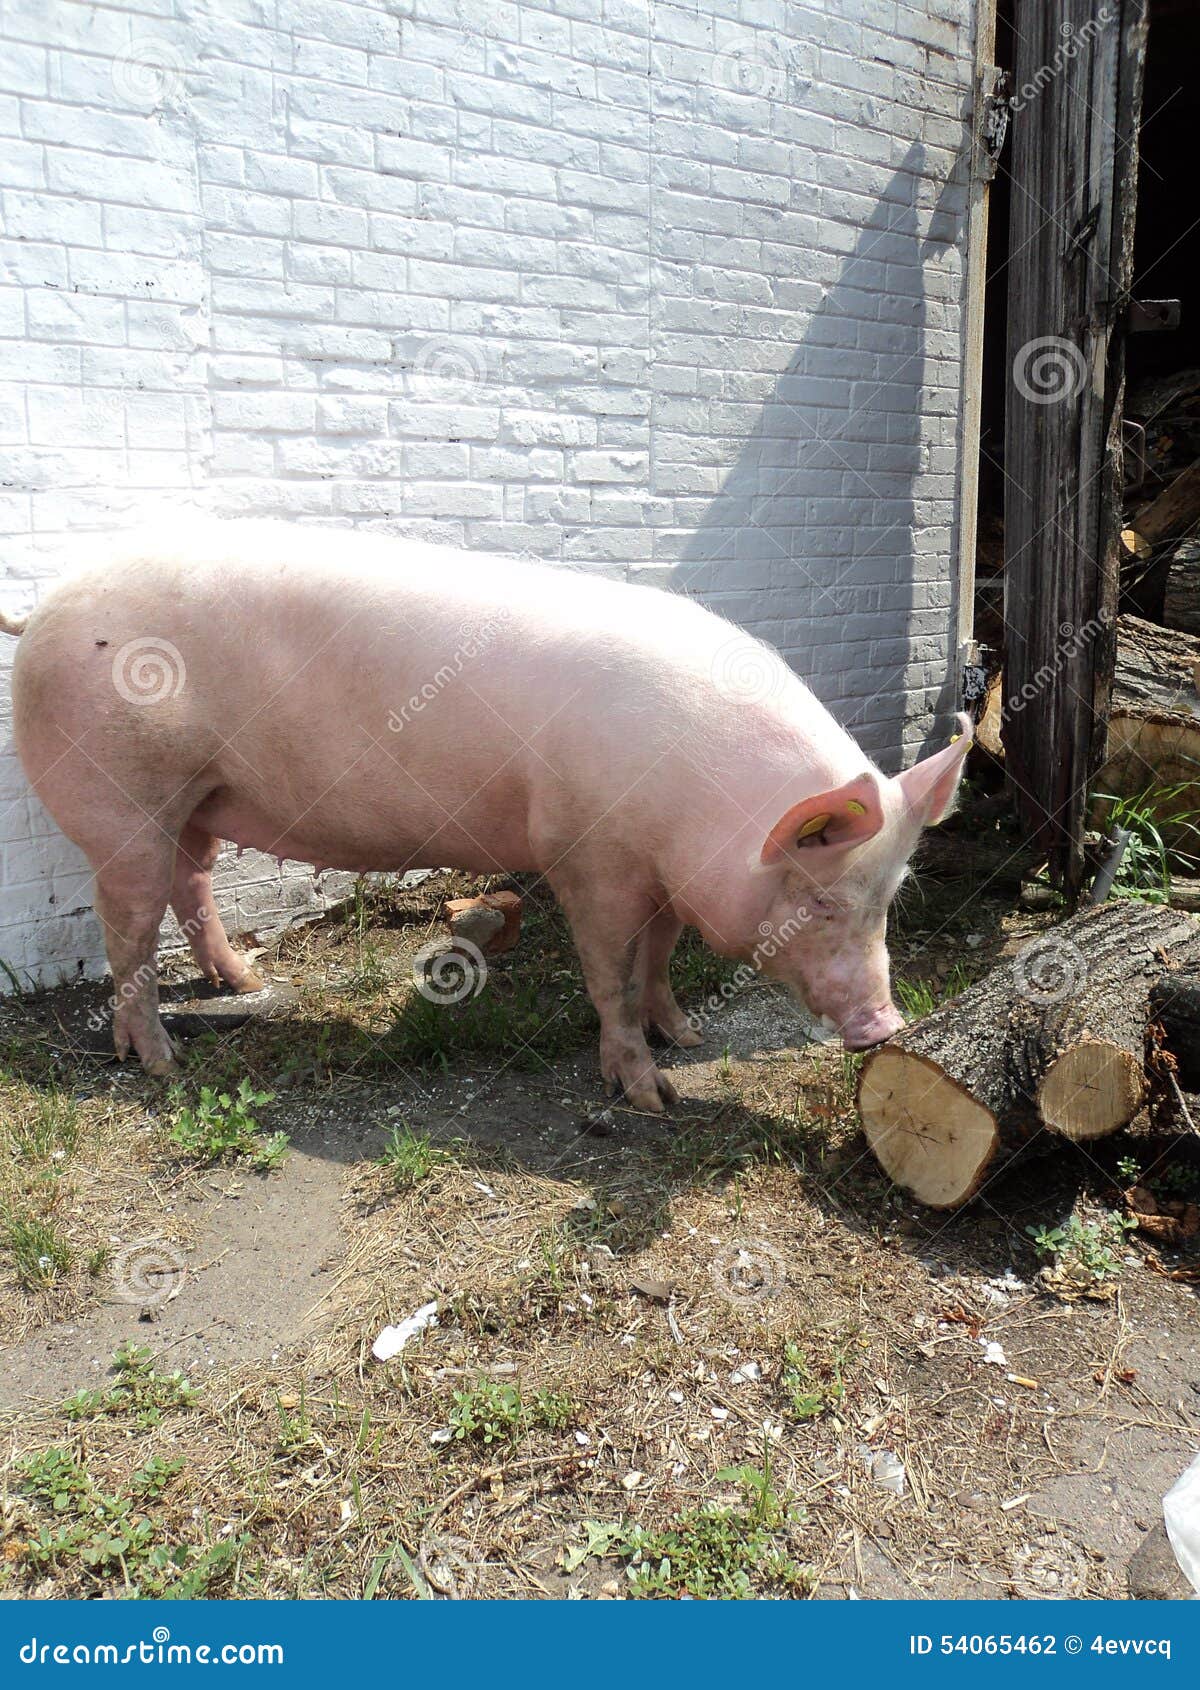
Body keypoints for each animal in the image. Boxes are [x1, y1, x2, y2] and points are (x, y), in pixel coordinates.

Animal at [1, 520, 971, 1110]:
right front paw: (648, 1094)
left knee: (191, 884)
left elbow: (661, 959)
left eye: (889, 900)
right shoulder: (588, 854)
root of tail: (42, 608)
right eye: (820, 901)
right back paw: (161, 1061)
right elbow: (613, 974)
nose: (886, 1025)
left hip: (198, 796)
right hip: (121, 795)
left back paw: (239, 984)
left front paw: (686, 1033)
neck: (699, 805)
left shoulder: (661, 873)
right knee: (128, 922)